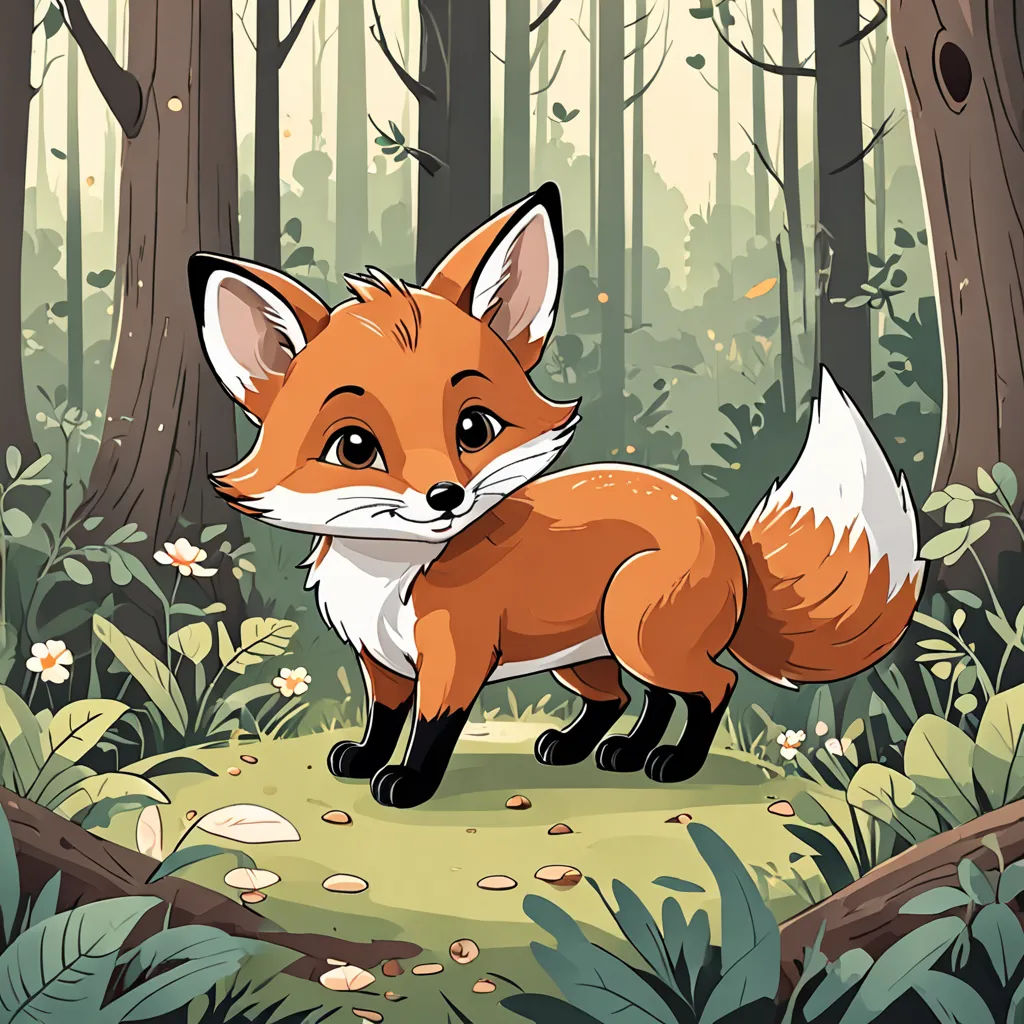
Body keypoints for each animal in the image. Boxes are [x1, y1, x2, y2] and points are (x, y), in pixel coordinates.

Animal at [187, 182, 924, 808]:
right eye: (354, 448)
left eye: (474, 428)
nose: (445, 496)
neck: (390, 573)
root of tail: (731, 543)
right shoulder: (380, 662)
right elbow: (384, 719)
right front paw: (366, 759)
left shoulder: (455, 656)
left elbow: (431, 728)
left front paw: (408, 783)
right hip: (593, 654)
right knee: (633, 699)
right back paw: (602, 750)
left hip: (636, 629)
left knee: (713, 687)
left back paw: (673, 763)